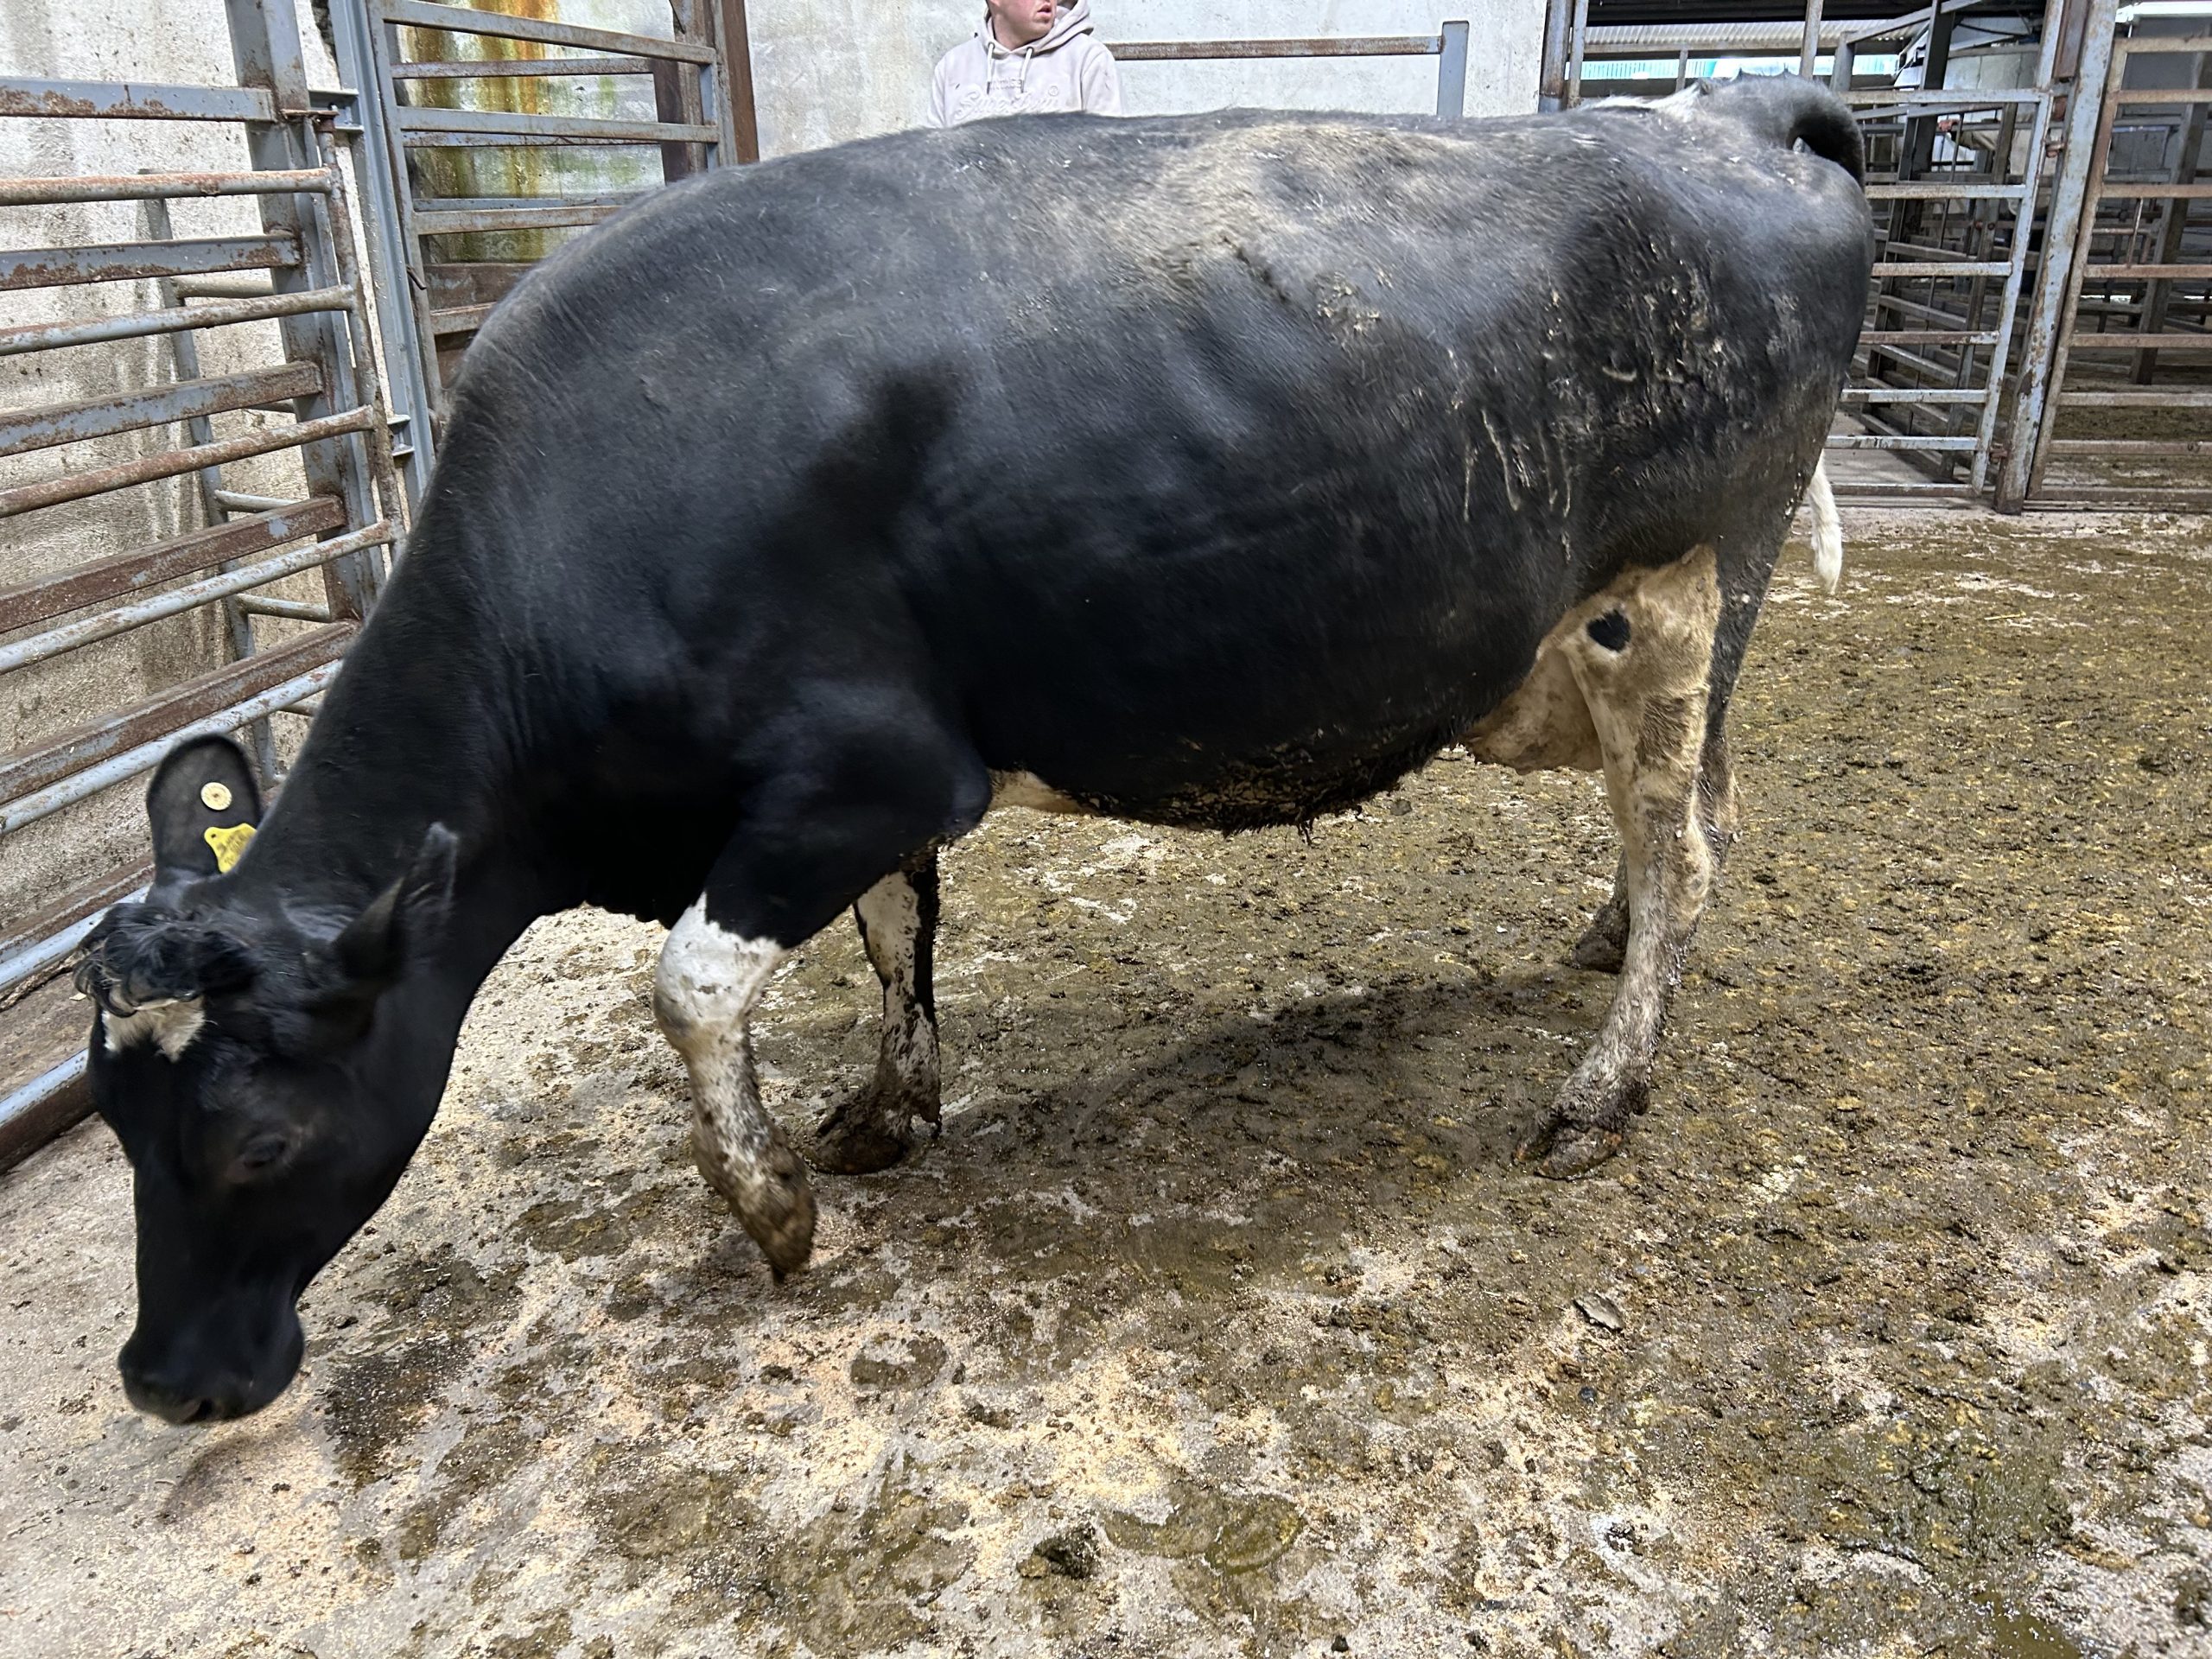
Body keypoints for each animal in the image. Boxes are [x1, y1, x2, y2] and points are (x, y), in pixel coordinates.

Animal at [72, 76, 1871, 1423]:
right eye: (114, 1127)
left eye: (257, 1141)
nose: (162, 1383)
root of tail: (1726, 113)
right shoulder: (853, 787)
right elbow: (892, 940)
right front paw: (887, 1111)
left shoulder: (857, 774)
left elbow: (692, 987)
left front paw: (776, 1207)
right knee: (1679, 819)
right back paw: (1605, 946)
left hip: (1678, 593)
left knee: (1686, 840)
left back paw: (1605, 1091)